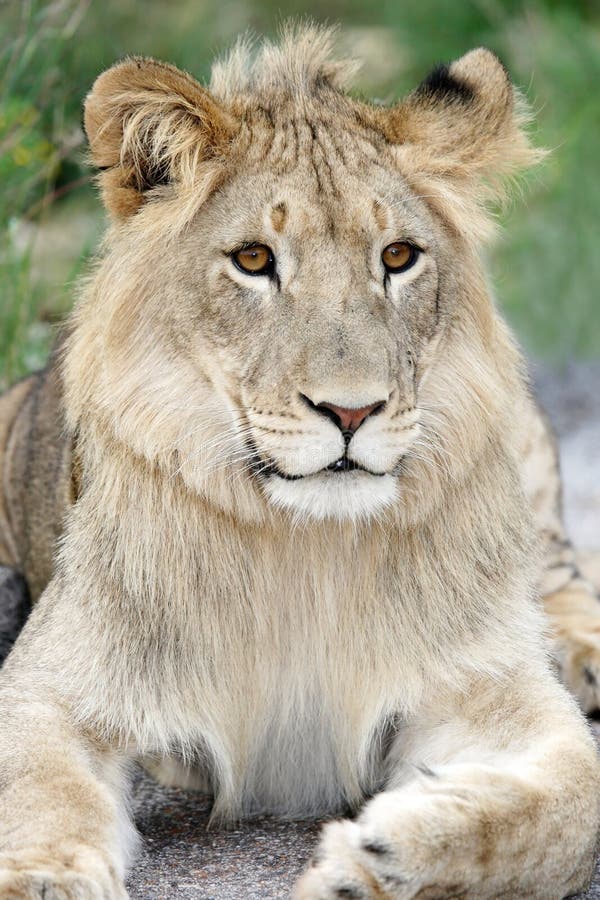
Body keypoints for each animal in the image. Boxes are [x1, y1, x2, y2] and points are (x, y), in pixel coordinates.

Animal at [0, 25, 599, 899]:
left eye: (398, 256)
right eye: (253, 260)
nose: (351, 412)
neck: (304, 549)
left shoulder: (481, 683)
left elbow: (572, 805)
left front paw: (376, 862)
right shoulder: (48, 687)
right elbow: (40, 794)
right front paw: (45, 878)